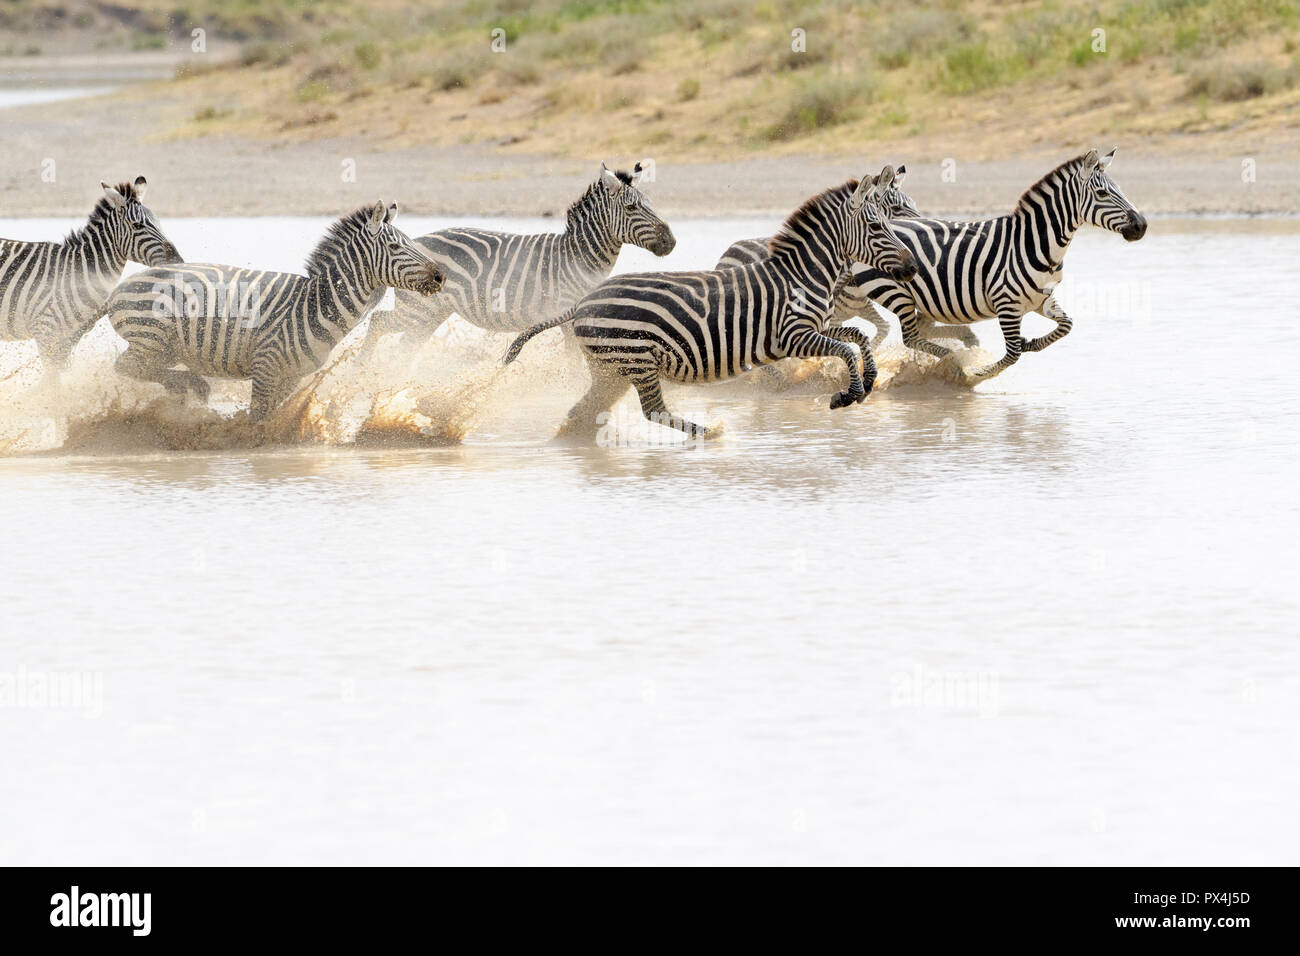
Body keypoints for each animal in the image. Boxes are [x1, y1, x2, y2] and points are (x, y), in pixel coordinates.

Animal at [0, 177, 182, 376]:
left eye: (159, 222)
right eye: (137, 225)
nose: (177, 260)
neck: (78, 269)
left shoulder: (68, 338)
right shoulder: (45, 330)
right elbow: (51, 379)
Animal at [106, 201, 444, 421]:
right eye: (396, 247)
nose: (441, 275)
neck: (316, 304)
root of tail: (119, 288)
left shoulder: (291, 377)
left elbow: (269, 419)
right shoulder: (265, 366)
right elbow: (257, 420)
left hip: (166, 348)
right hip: (151, 339)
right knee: (125, 367)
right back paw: (191, 384)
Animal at [357, 161, 676, 360]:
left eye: (651, 204)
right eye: (632, 207)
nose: (671, 242)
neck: (578, 255)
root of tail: (415, 242)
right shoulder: (566, 317)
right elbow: (574, 364)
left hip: (430, 314)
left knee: (401, 343)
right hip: (418, 310)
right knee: (379, 322)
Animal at [503, 168, 919, 439]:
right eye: (877, 227)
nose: (913, 267)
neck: (802, 274)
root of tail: (585, 300)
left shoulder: (816, 328)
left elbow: (857, 338)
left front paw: (867, 381)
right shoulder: (792, 336)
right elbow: (846, 348)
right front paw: (848, 394)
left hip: (612, 369)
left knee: (586, 411)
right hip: (635, 362)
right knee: (653, 411)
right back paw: (709, 433)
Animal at [849, 148, 1146, 383]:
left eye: (1119, 189)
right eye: (1102, 193)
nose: (1142, 226)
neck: (1033, 244)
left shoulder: (1042, 299)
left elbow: (1066, 326)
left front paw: (1032, 343)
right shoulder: (1007, 305)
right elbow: (1013, 353)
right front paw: (978, 375)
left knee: (919, 332)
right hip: (896, 292)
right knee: (910, 337)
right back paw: (955, 365)